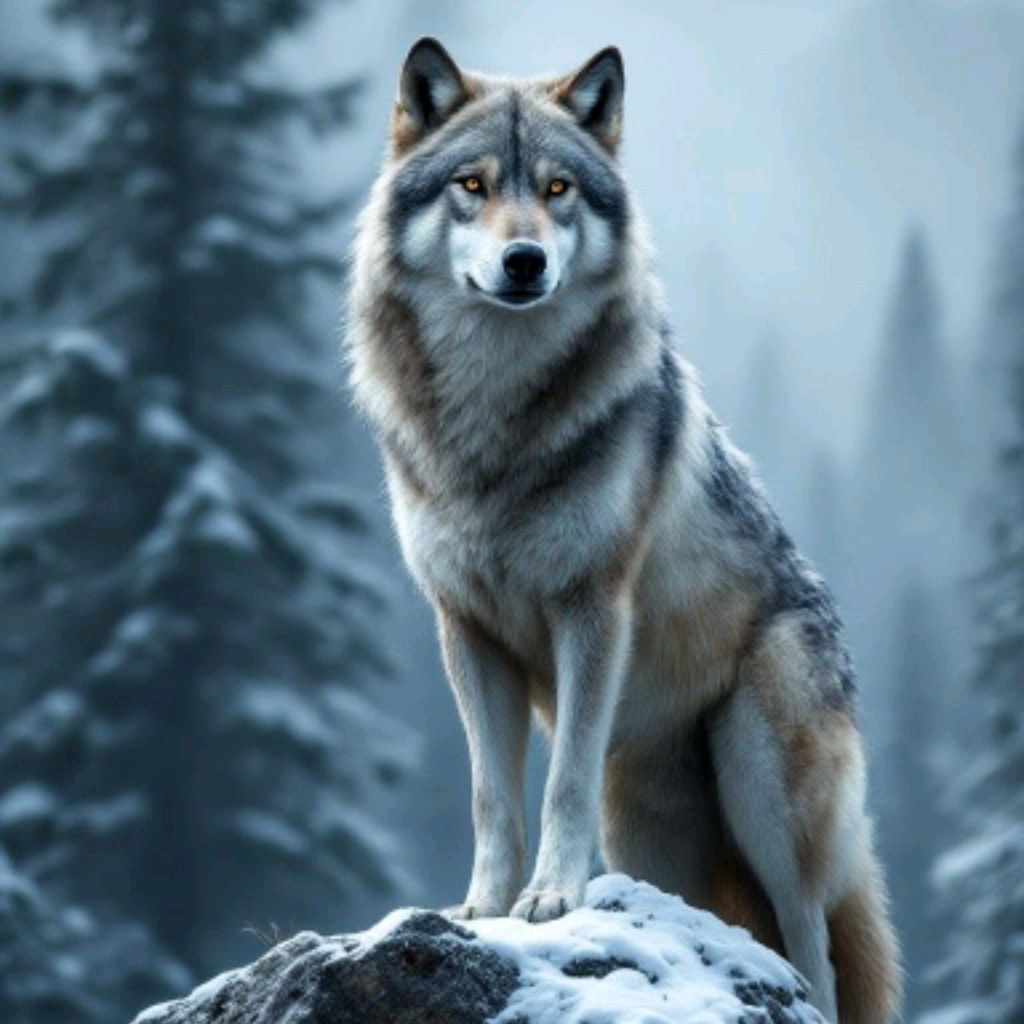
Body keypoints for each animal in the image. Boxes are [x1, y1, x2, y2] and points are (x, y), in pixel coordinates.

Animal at [346, 38, 901, 1024]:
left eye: (559, 188)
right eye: (473, 186)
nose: (524, 260)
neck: (494, 420)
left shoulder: (593, 609)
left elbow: (559, 780)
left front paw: (551, 899)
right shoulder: (467, 632)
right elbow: (492, 795)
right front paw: (483, 910)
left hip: (766, 798)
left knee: (816, 950)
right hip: (652, 833)